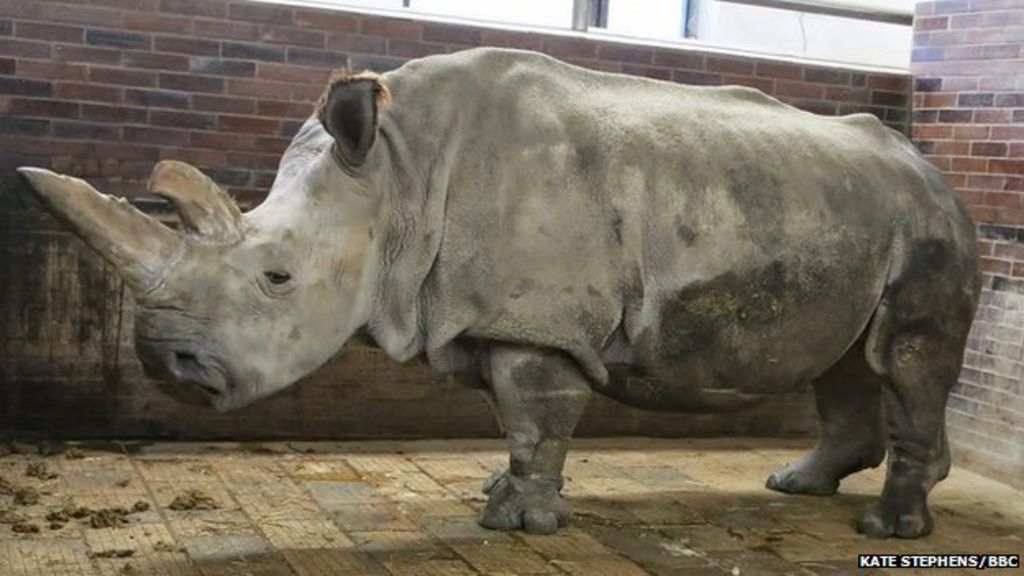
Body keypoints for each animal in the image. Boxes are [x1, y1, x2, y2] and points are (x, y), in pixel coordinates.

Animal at [18, 47, 978, 538]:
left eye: (276, 277)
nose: (166, 364)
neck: (393, 176)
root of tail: (930, 167)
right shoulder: (476, 310)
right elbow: (514, 418)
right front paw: (499, 494)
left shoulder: (537, 322)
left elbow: (533, 412)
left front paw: (516, 524)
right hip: (847, 213)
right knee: (850, 361)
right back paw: (796, 489)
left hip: (930, 229)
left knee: (908, 360)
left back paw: (889, 529)